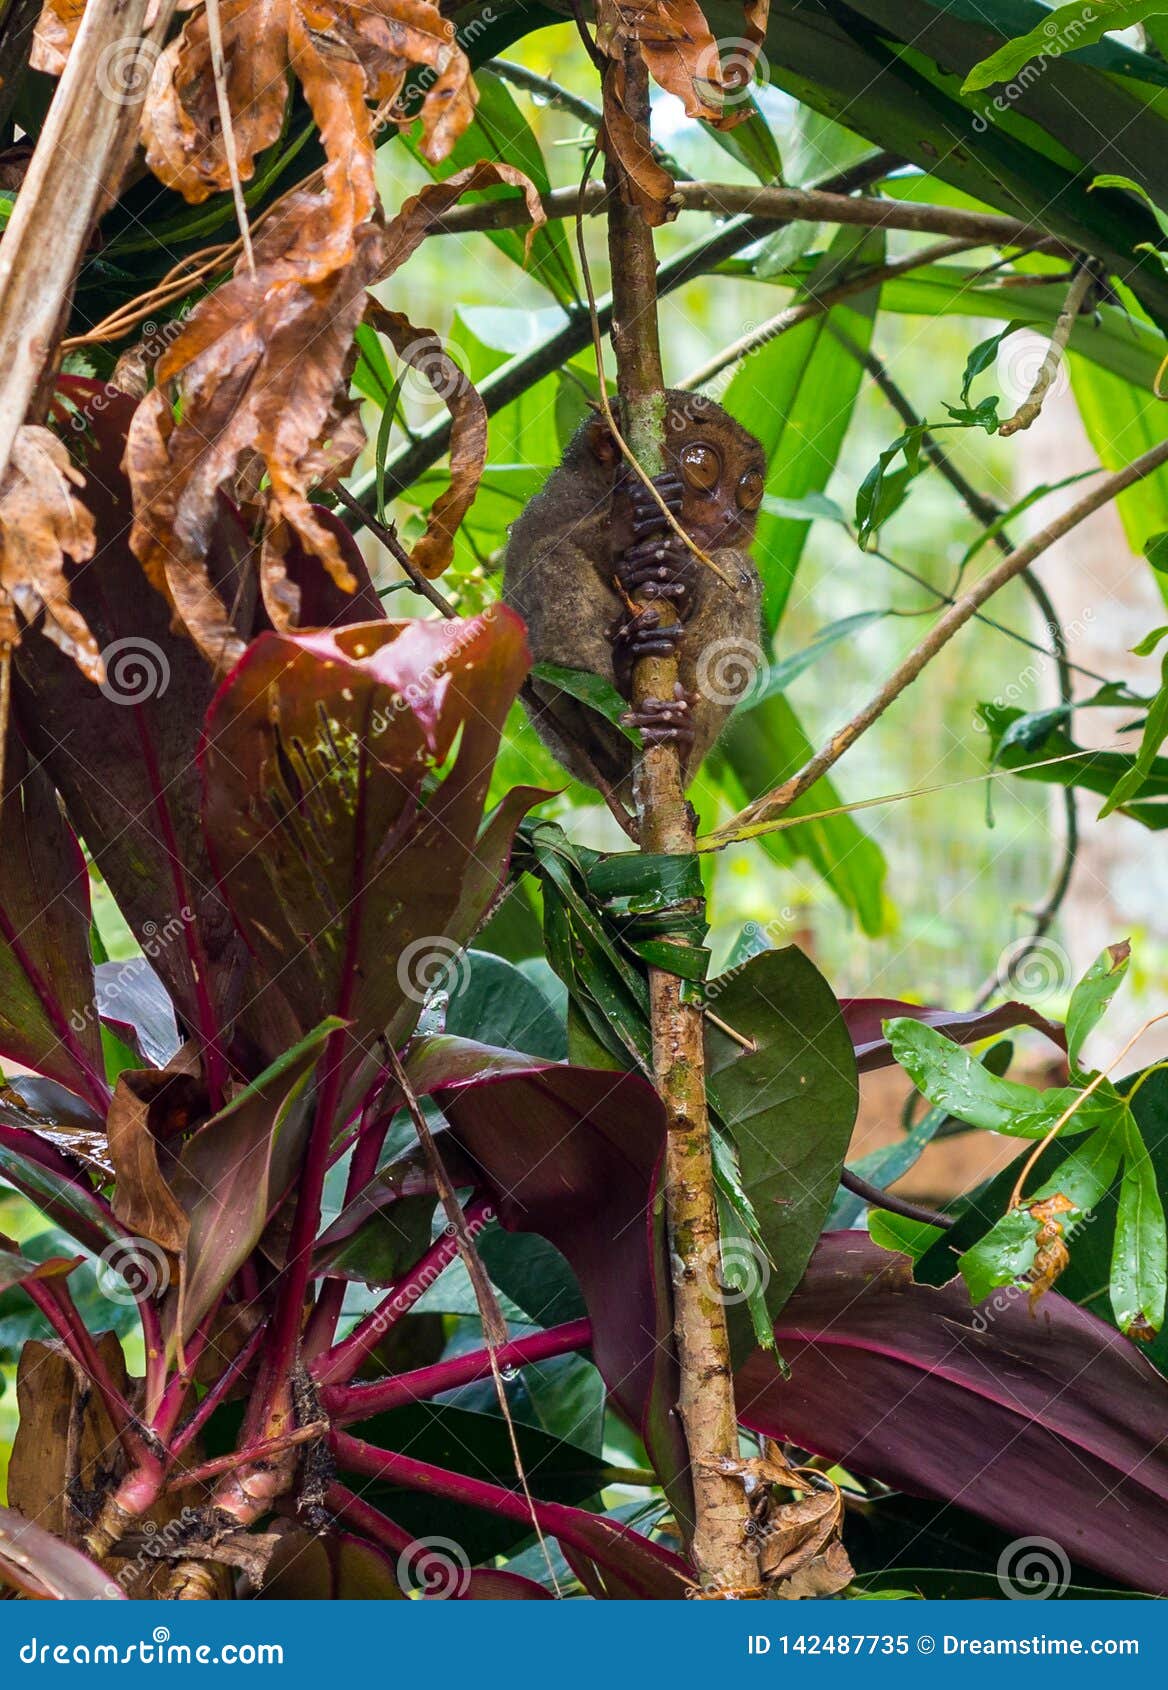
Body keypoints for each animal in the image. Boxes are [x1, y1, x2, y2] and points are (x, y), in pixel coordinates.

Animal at [503, 391, 765, 823]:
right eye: (701, 467)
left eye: (751, 490)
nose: (730, 517)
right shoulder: (550, 506)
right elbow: (537, 553)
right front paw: (626, 527)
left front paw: (683, 571)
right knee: (551, 558)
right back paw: (626, 676)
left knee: (735, 569)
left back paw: (679, 733)